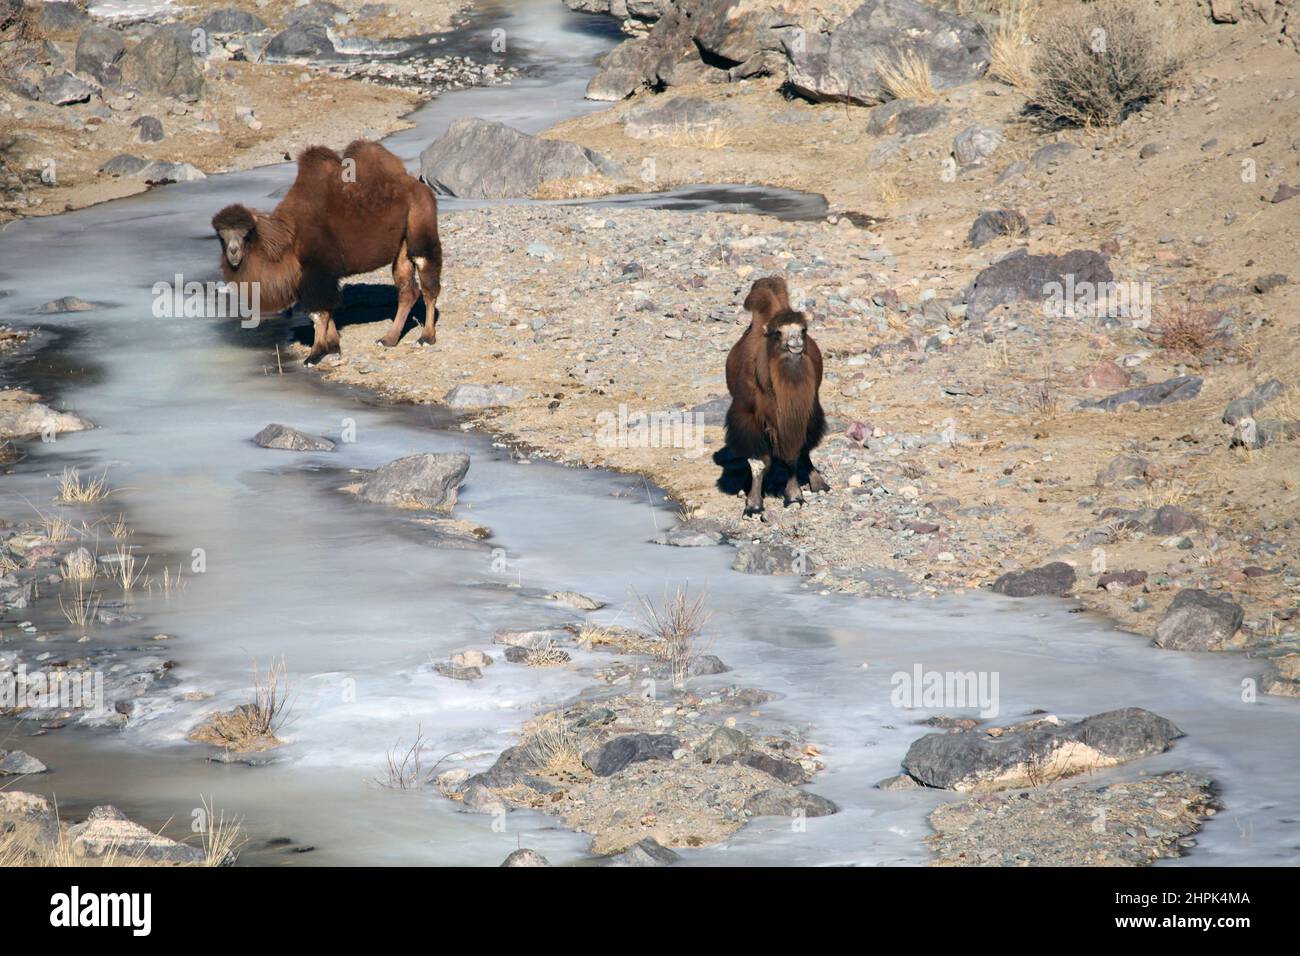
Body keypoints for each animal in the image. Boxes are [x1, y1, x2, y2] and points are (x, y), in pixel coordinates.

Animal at [211, 140, 441, 366]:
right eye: (221, 236)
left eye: (246, 234)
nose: (233, 253)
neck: (289, 241)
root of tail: (418, 185)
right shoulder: (310, 275)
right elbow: (326, 309)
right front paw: (332, 348)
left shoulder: (318, 270)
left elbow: (319, 313)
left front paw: (315, 354)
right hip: (401, 244)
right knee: (407, 289)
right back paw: (388, 339)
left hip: (421, 226)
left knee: (427, 278)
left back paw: (426, 338)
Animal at [724, 276, 829, 516]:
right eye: (777, 333)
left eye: (803, 330)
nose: (795, 344)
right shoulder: (749, 417)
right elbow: (758, 461)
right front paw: (753, 506)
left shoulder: (800, 415)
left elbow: (793, 455)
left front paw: (794, 497)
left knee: (804, 450)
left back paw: (819, 483)